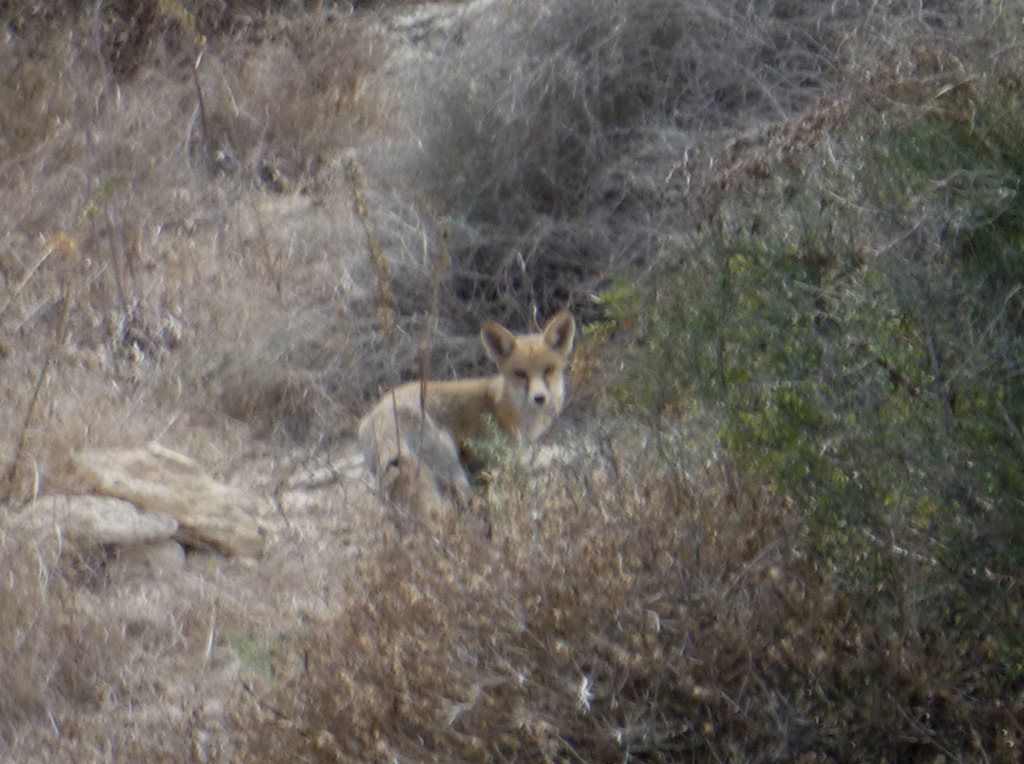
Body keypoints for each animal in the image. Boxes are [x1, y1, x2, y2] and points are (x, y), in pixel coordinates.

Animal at [358, 310, 576, 518]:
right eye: (520, 374)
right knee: (468, 500)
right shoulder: (494, 459)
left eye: (548, 370)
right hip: (448, 458)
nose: (540, 398)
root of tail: (378, 416)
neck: (501, 405)